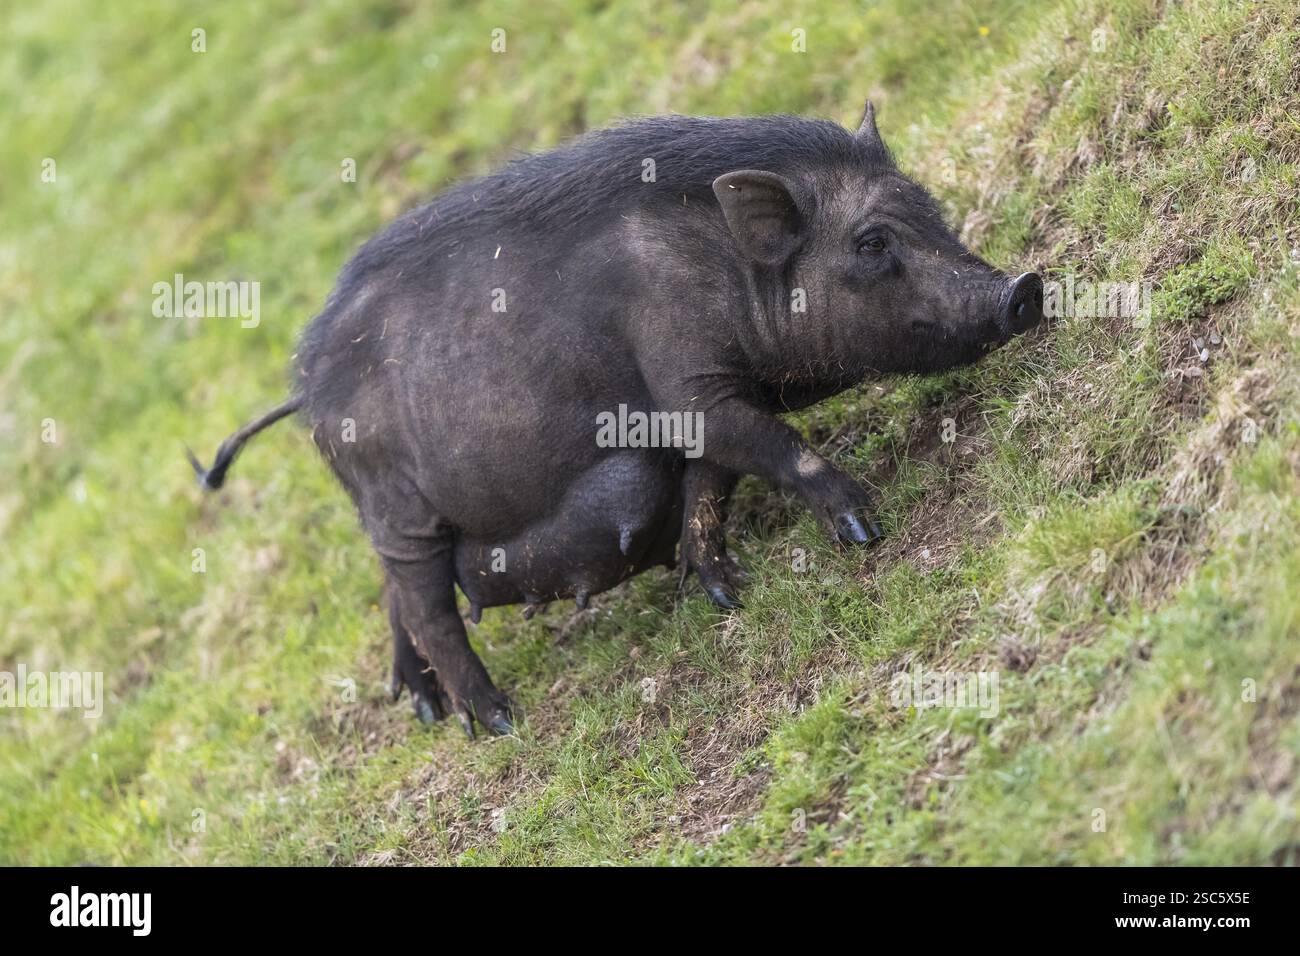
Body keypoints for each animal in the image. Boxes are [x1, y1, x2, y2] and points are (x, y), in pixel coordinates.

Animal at [188, 102, 1044, 737]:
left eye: (929, 209)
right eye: (871, 244)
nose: (1026, 288)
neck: (727, 270)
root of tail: (305, 388)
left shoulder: (700, 408)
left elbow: (710, 484)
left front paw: (727, 591)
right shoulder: (694, 388)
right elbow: (774, 449)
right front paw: (866, 529)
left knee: (394, 599)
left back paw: (427, 710)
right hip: (395, 504)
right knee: (428, 609)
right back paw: (497, 722)